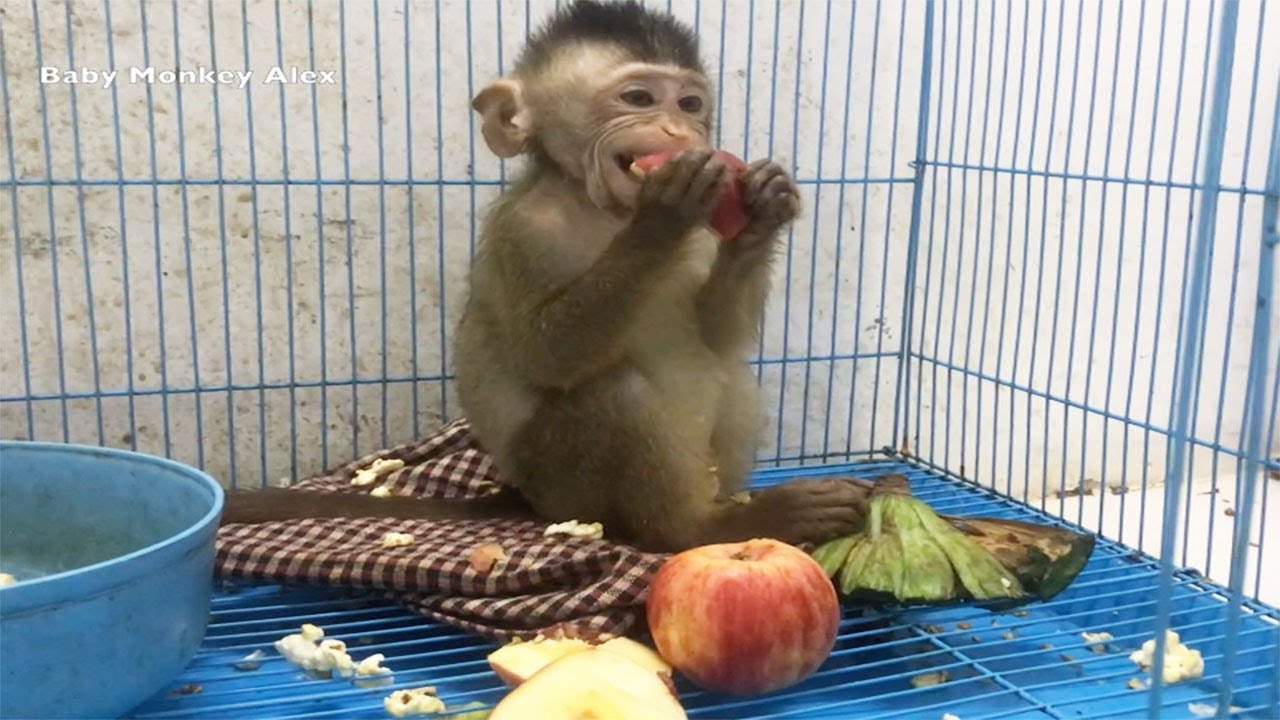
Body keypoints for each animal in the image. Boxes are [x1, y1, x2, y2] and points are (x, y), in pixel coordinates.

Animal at [221, 0, 869, 552]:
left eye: (689, 104)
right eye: (639, 98)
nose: (680, 134)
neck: (602, 210)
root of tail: (526, 497)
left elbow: (717, 334)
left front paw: (764, 209)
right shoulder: (527, 231)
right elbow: (549, 357)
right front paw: (663, 214)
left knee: (731, 371)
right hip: (564, 487)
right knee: (613, 392)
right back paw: (699, 529)